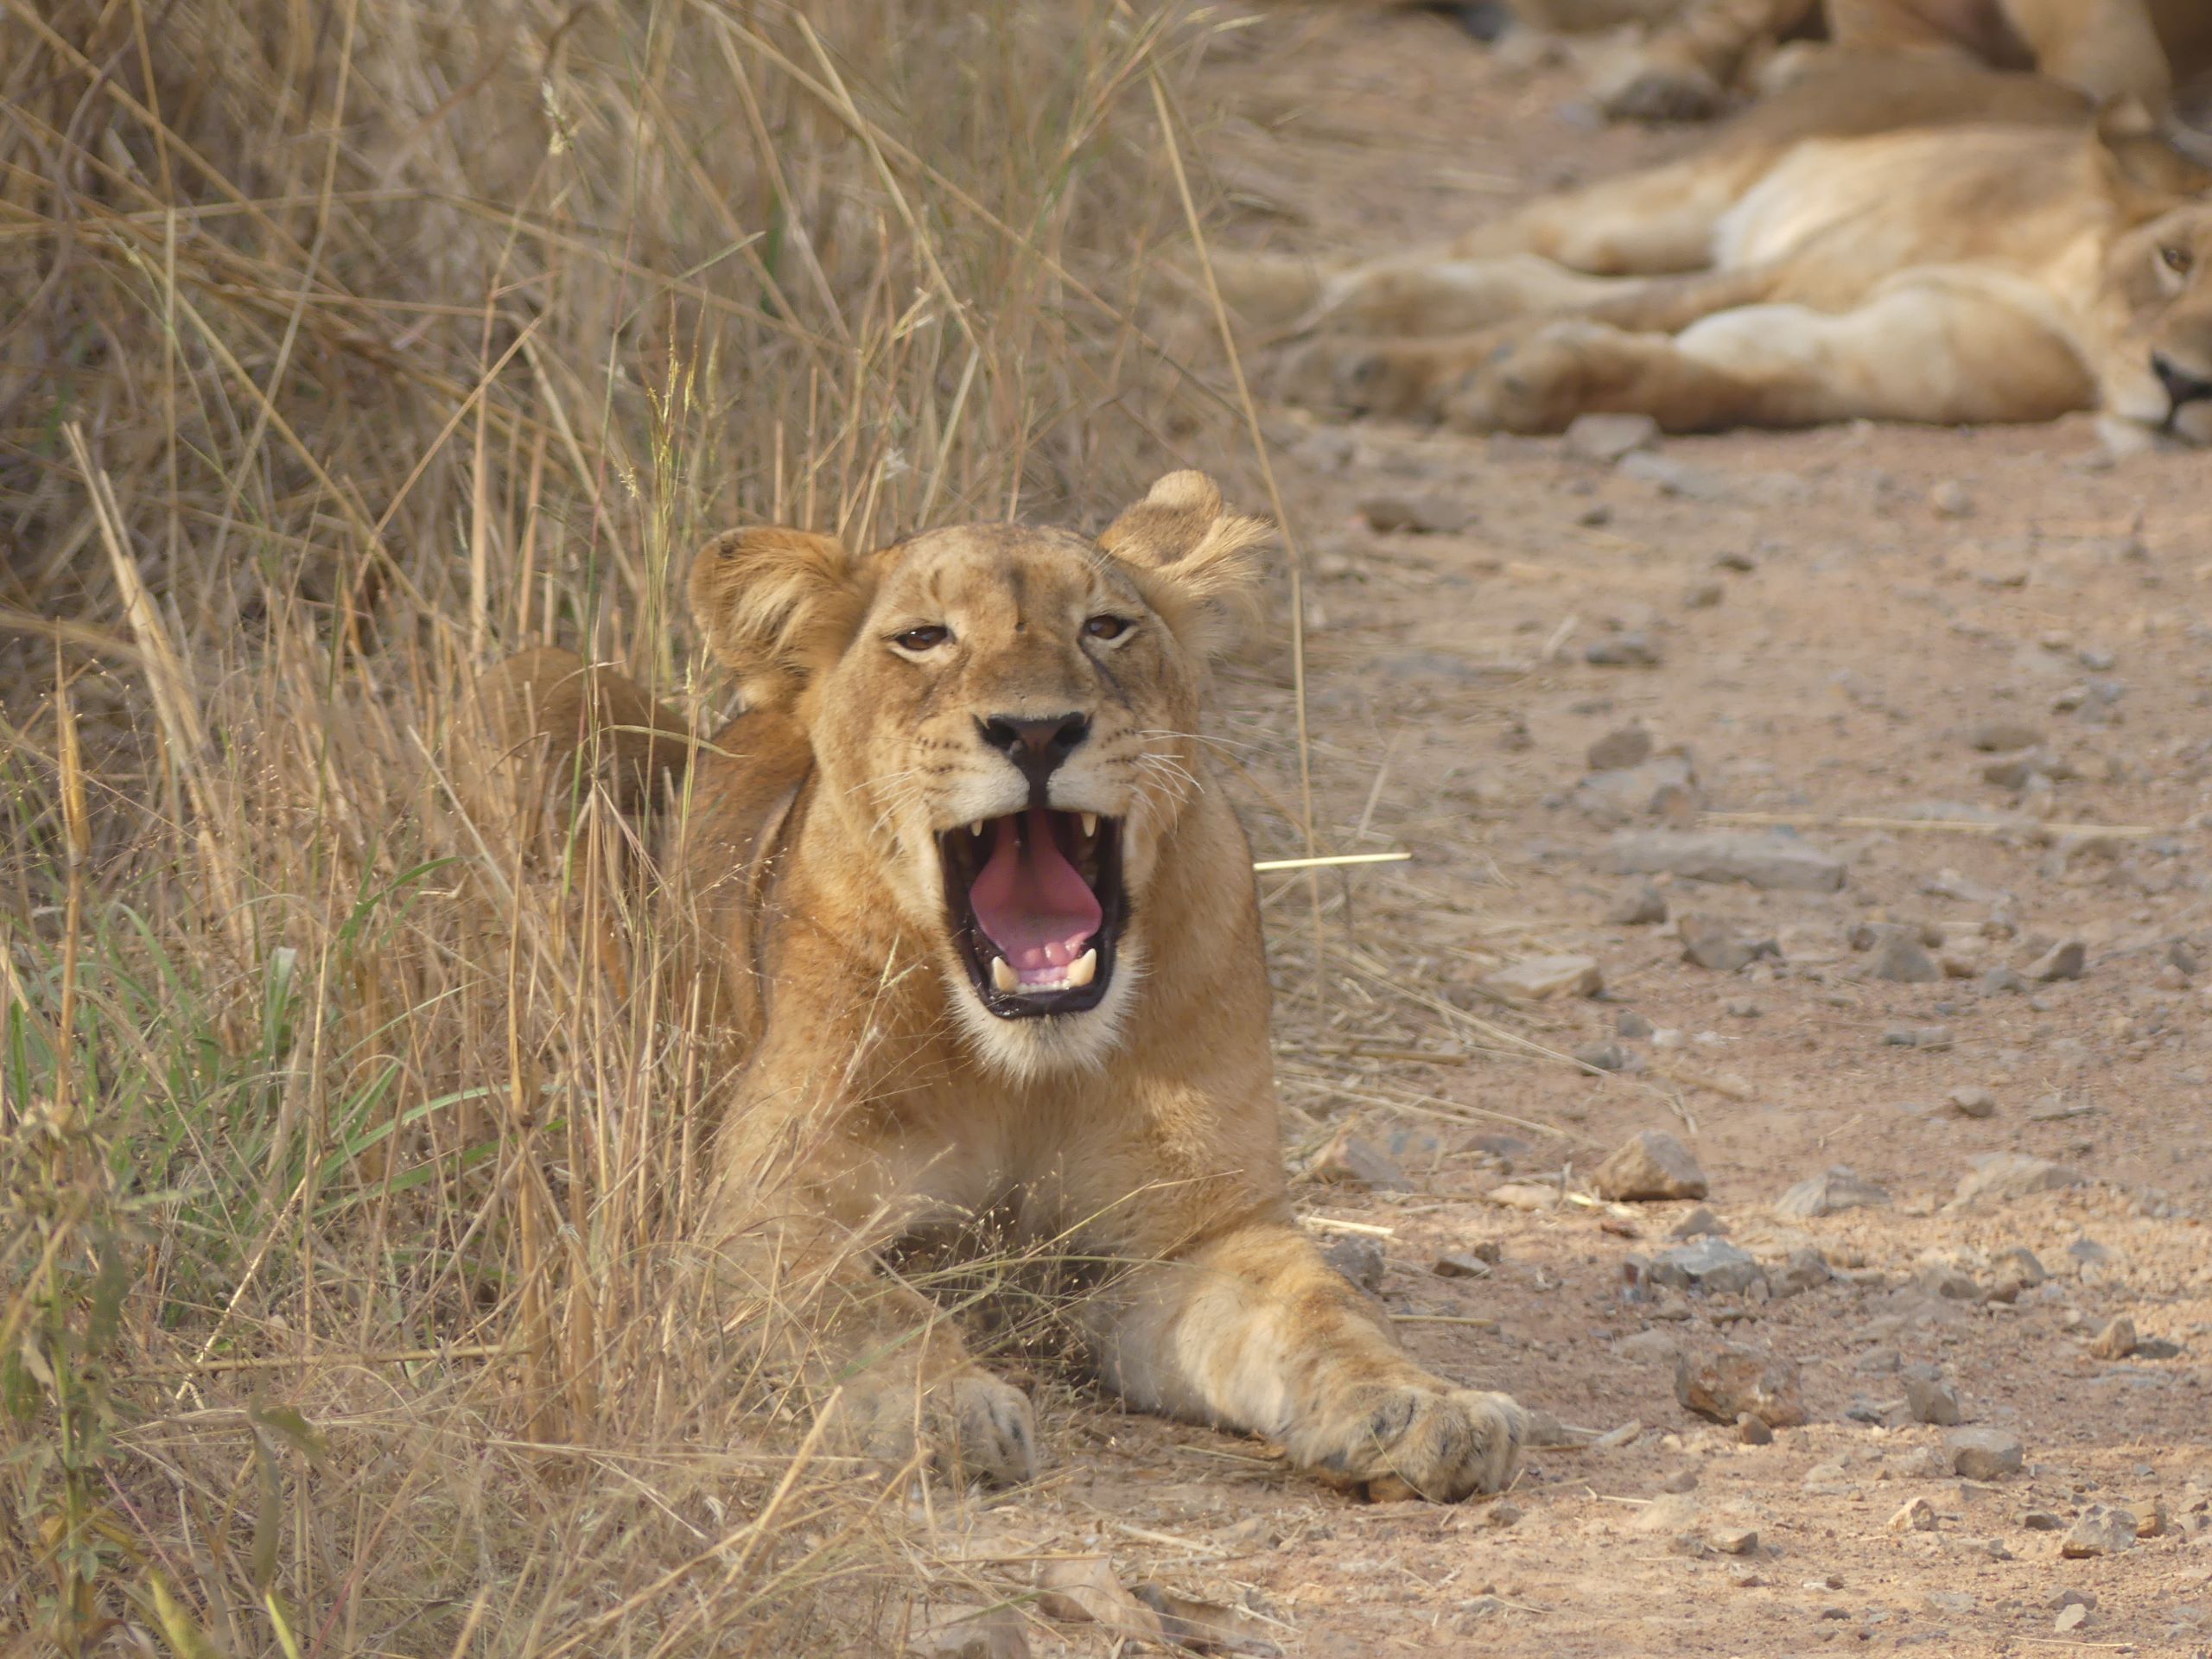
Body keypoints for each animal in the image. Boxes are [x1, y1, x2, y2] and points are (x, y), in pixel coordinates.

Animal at [473, 472, 1527, 1501]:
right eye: (924, 638)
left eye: (1106, 626)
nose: (1037, 732)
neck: (1023, 1067)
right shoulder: (760, 1214)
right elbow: (861, 1304)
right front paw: (938, 1411)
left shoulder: (1194, 1233)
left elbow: (1324, 1310)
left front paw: (1419, 1408)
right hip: (535, 680)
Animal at [1231, 55, 2212, 443]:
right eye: (2176, 260)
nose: (2185, 388)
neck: (2056, 285)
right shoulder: (1804, 267)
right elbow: (1615, 315)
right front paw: (1360, 368)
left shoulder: (1877, 360)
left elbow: (1711, 379)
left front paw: (1531, 387)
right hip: (1675, 198)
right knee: (1464, 256)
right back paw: (1252, 297)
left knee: (1524, 278)